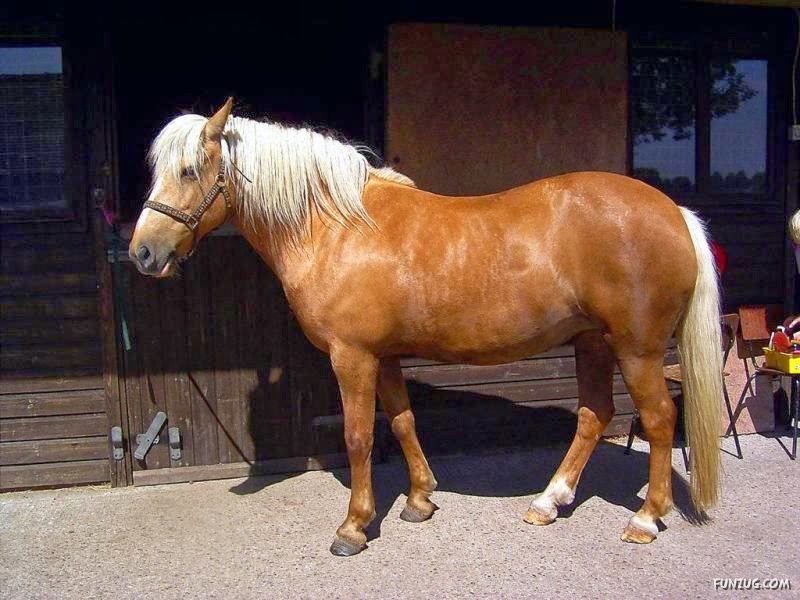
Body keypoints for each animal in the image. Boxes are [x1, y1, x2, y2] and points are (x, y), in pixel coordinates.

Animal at [129, 98, 723, 556]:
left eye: (189, 171)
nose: (143, 253)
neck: (335, 227)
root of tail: (674, 212)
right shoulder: (384, 355)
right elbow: (403, 421)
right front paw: (419, 500)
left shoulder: (352, 356)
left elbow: (359, 437)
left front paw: (354, 527)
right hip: (592, 343)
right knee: (594, 416)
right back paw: (548, 502)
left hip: (637, 351)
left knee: (660, 419)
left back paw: (644, 519)